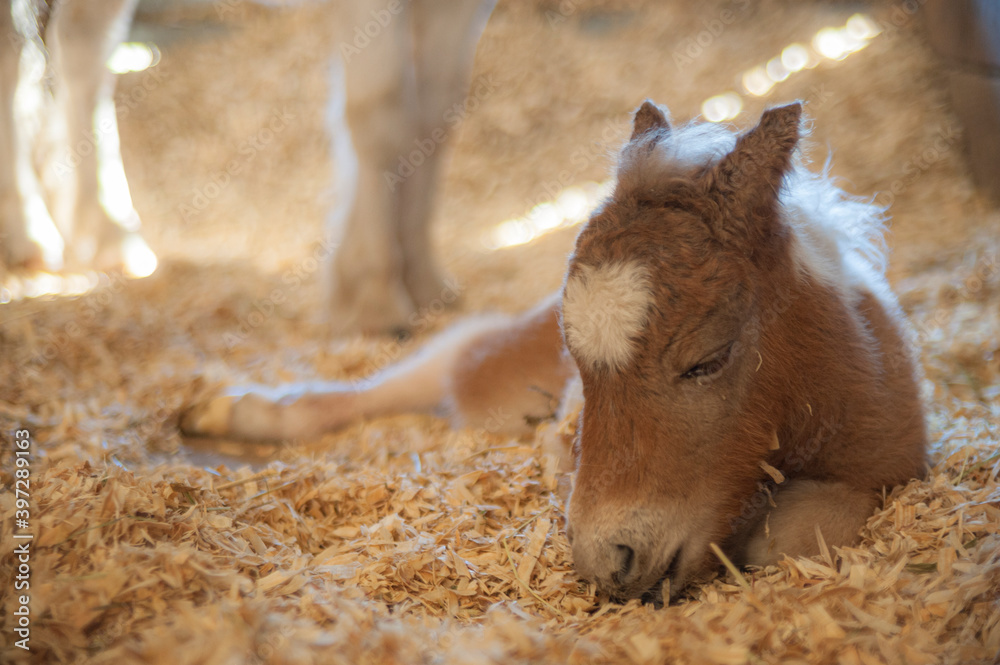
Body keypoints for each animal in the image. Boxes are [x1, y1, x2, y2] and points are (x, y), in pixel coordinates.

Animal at [182, 100, 928, 602]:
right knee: (437, 367)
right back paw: (234, 412)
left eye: (708, 359)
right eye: (580, 365)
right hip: (497, 376)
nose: (611, 560)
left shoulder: (895, 465)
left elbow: (795, 534)